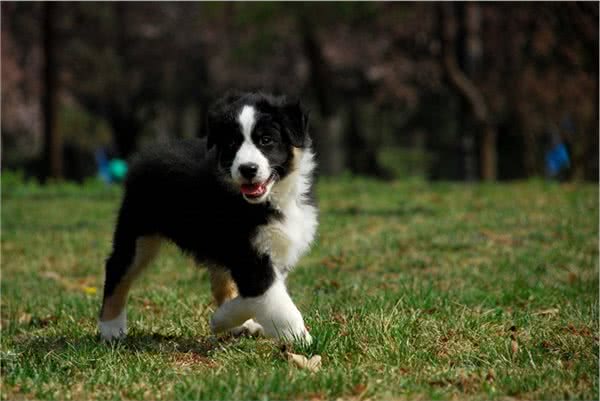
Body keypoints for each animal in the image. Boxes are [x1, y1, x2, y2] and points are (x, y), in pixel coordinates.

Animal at [97, 92, 318, 342]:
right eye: (232, 144)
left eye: (266, 140)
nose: (247, 169)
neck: (271, 199)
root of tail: (145, 155)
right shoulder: (249, 255)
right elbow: (276, 301)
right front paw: (301, 339)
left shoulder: (271, 250)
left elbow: (259, 295)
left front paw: (222, 319)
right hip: (138, 233)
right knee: (117, 268)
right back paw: (111, 329)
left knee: (220, 281)